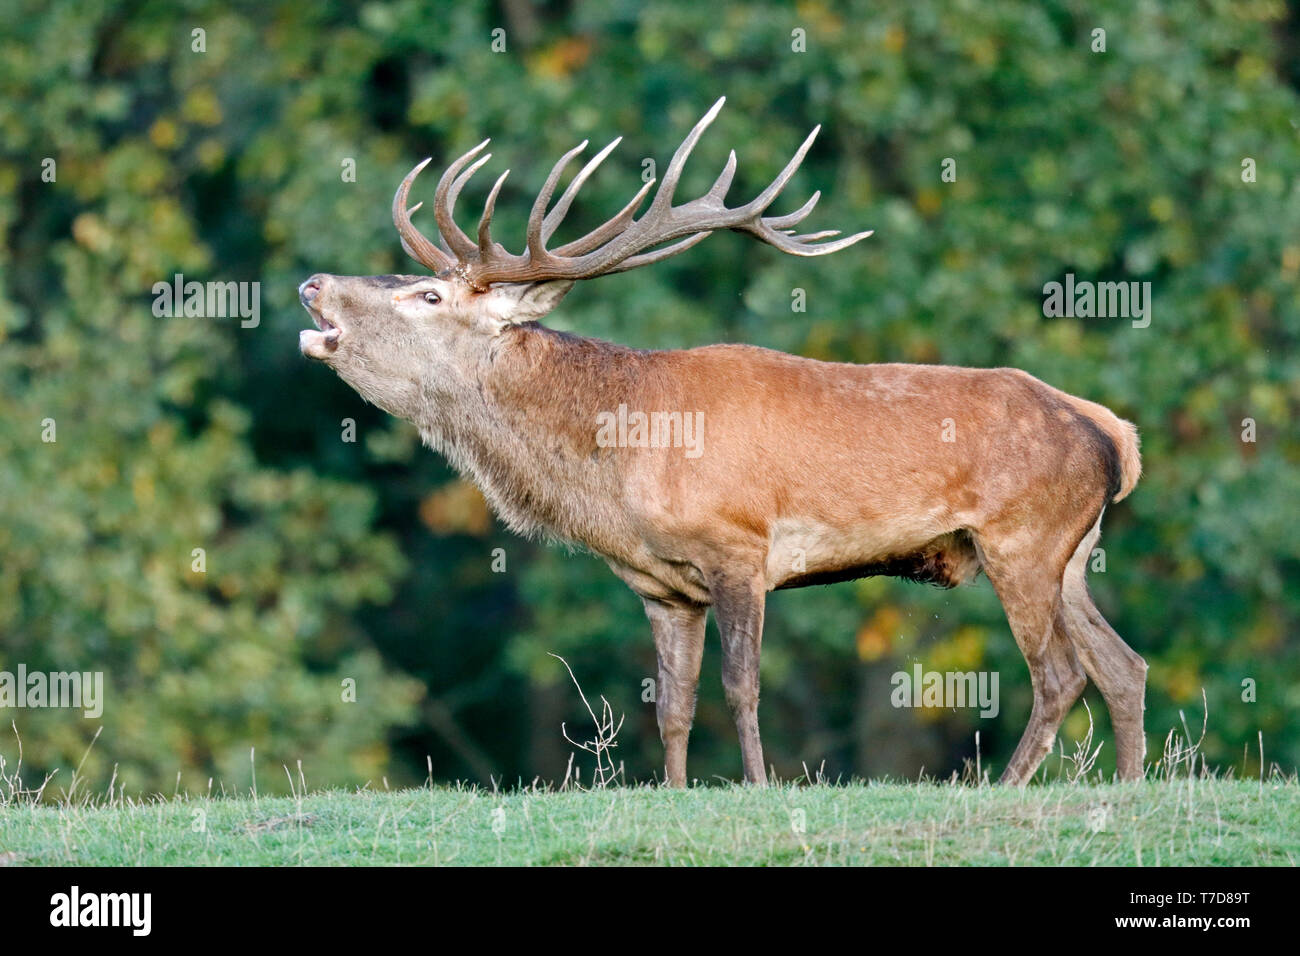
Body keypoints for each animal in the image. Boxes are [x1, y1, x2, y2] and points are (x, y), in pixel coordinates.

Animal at [298, 98, 1148, 787]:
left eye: (427, 295)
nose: (312, 284)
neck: (617, 467)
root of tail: (1114, 434)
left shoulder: (739, 545)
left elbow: (742, 686)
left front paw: (759, 786)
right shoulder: (663, 586)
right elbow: (673, 704)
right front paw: (674, 794)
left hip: (1021, 537)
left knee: (1061, 674)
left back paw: (1005, 787)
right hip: (1070, 554)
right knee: (1124, 665)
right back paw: (1132, 785)